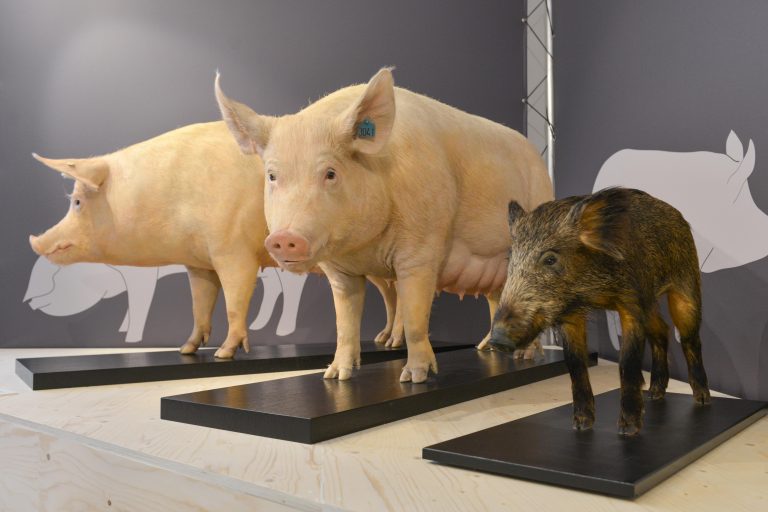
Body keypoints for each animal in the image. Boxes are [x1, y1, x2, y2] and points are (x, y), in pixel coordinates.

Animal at [29, 122, 399, 356]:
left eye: (77, 201)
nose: (36, 241)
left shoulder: (233, 250)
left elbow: (235, 300)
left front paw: (225, 354)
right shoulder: (198, 261)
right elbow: (200, 304)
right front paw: (186, 349)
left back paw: (393, 344)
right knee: (391, 293)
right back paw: (384, 341)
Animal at [215, 68, 553, 383]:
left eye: (330, 173)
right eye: (272, 176)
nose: (284, 237)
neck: (365, 247)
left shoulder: (422, 248)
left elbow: (416, 317)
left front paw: (413, 378)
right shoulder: (339, 271)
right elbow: (345, 323)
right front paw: (334, 376)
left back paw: (525, 357)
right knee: (496, 296)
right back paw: (486, 349)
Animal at [489, 187, 711, 436]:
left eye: (550, 259)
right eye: (509, 259)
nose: (497, 340)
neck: (592, 291)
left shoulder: (632, 303)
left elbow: (627, 361)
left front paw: (628, 429)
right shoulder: (571, 315)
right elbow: (575, 363)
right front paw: (581, 425)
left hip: (686, 283)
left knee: (690, 338)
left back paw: (702, 400)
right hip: (650, 301)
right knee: (662, 331)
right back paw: (655, 394)